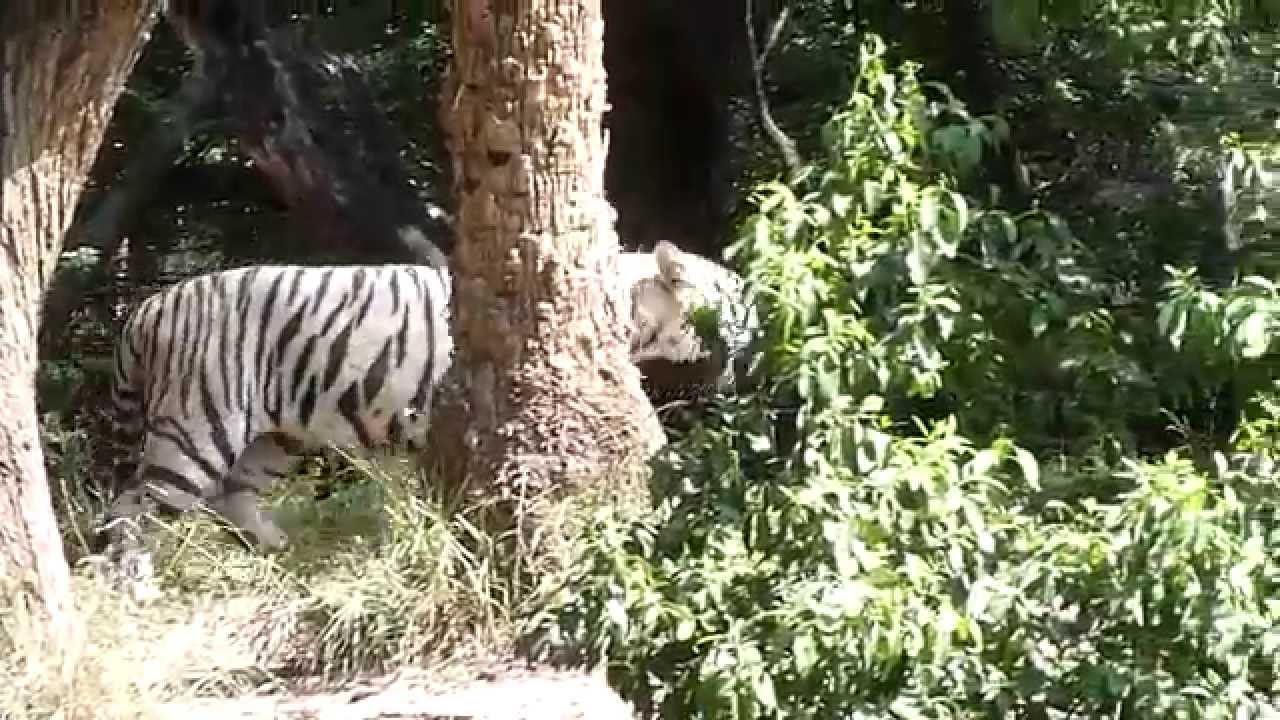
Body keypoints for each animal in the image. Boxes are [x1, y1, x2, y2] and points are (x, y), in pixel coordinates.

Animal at [97, 240, 756, 559]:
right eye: (740, 292)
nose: (766, 303)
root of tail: (148, 306)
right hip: (200, 423)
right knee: (131, 505)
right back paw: (134, 583)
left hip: (274, 436)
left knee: (233, 497)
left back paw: (276, 550)